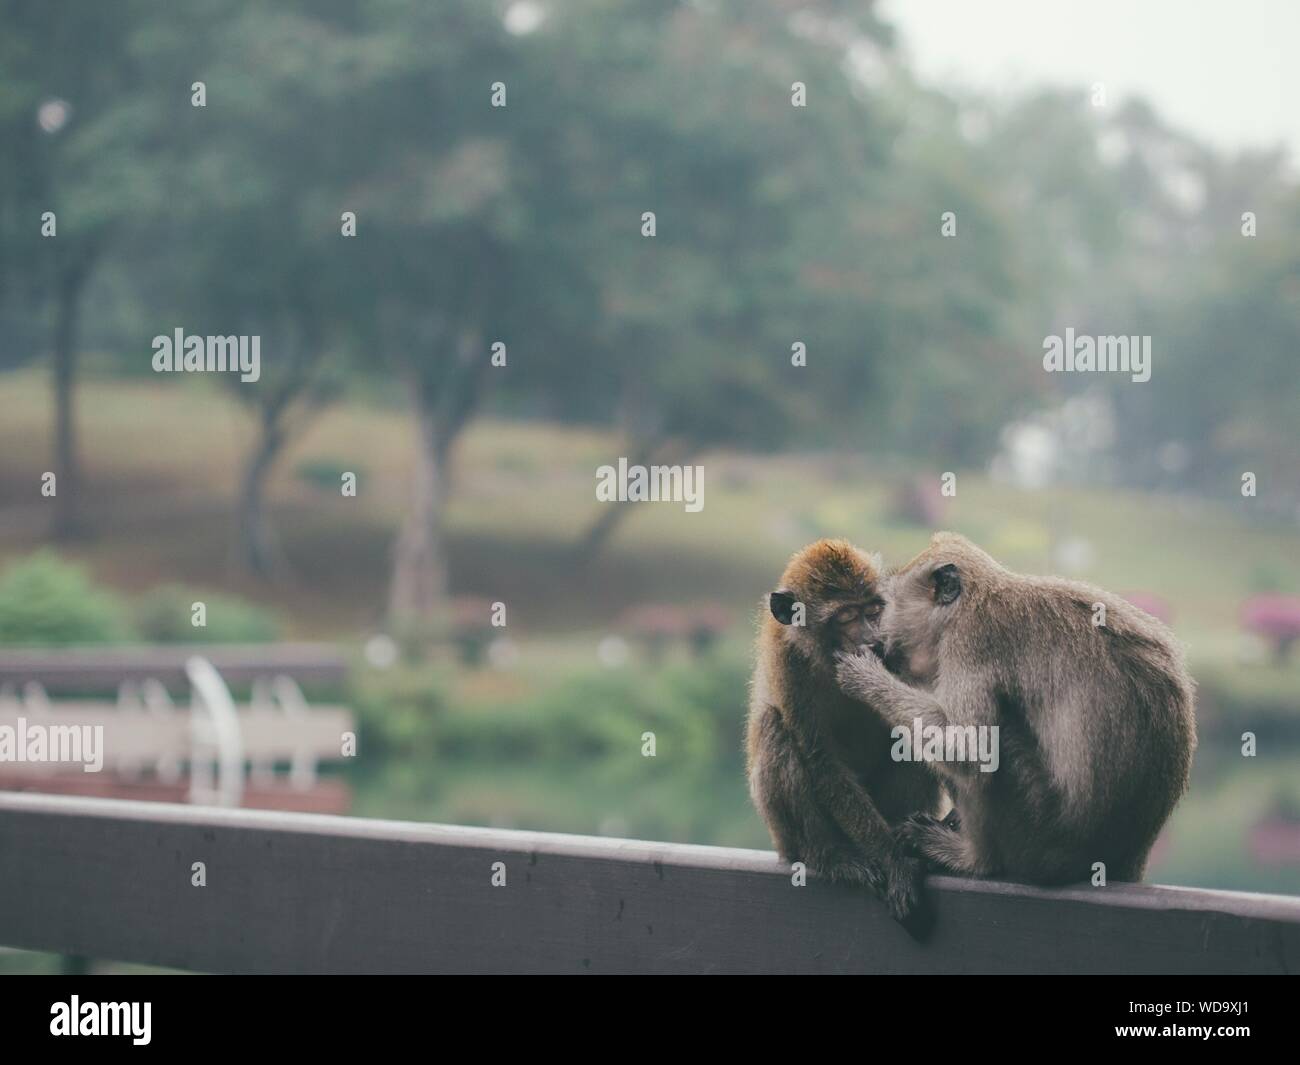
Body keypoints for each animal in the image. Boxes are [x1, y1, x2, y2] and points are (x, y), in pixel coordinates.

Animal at [746, 539, 945, 929]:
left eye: (874, 610)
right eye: (846, 617)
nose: (872, 638)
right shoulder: (787, 661)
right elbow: (822, 760)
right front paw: (893, 862)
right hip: (785, 837)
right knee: (774, 727)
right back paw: (828, 856)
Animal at [834, 531, 1197, 886]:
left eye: (884, 608)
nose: (882, 635)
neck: (974, 598)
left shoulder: (970, 642)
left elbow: (970, 751)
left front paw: (865, 676)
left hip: (1035, 840)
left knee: (1001, 739)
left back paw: (975, 860)